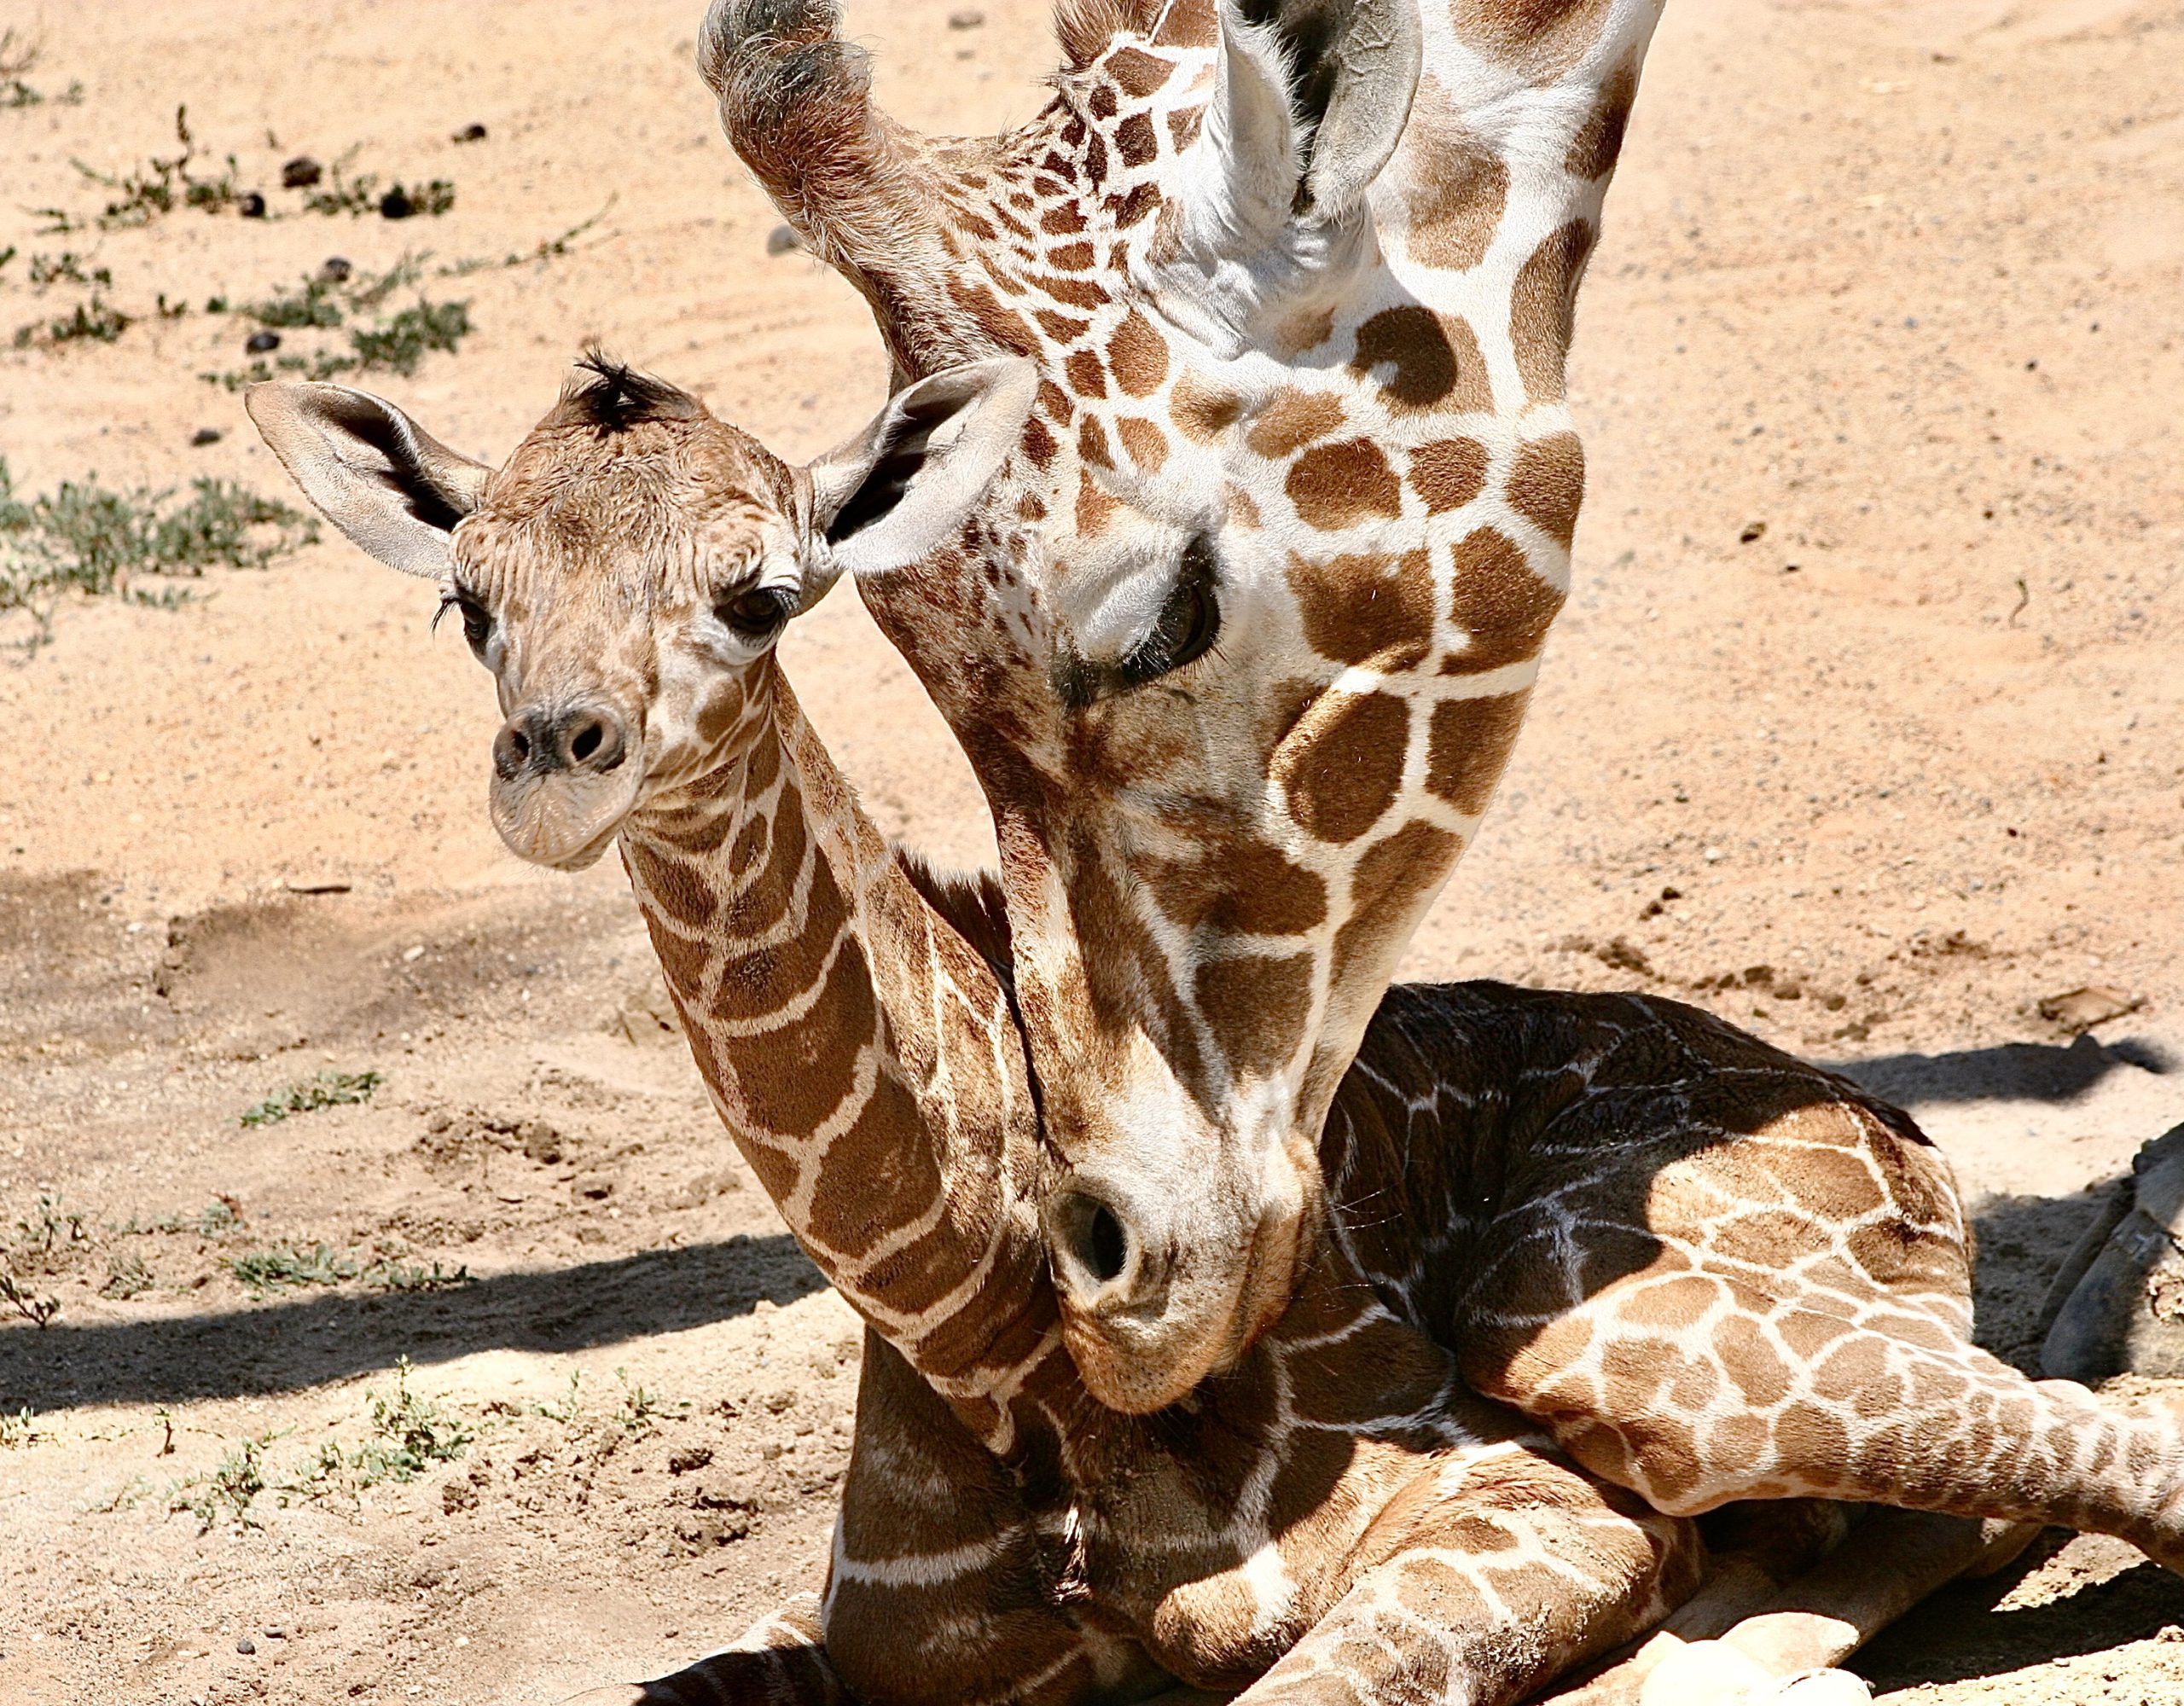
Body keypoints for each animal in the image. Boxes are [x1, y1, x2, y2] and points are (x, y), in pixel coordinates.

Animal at [240, 363, 1937, 1706]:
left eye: (760, 594)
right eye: (469, 606)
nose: (553, 764)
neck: (988, 1336)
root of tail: (1886, 1121)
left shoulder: (1525, 1506)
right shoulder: (884, 1646)